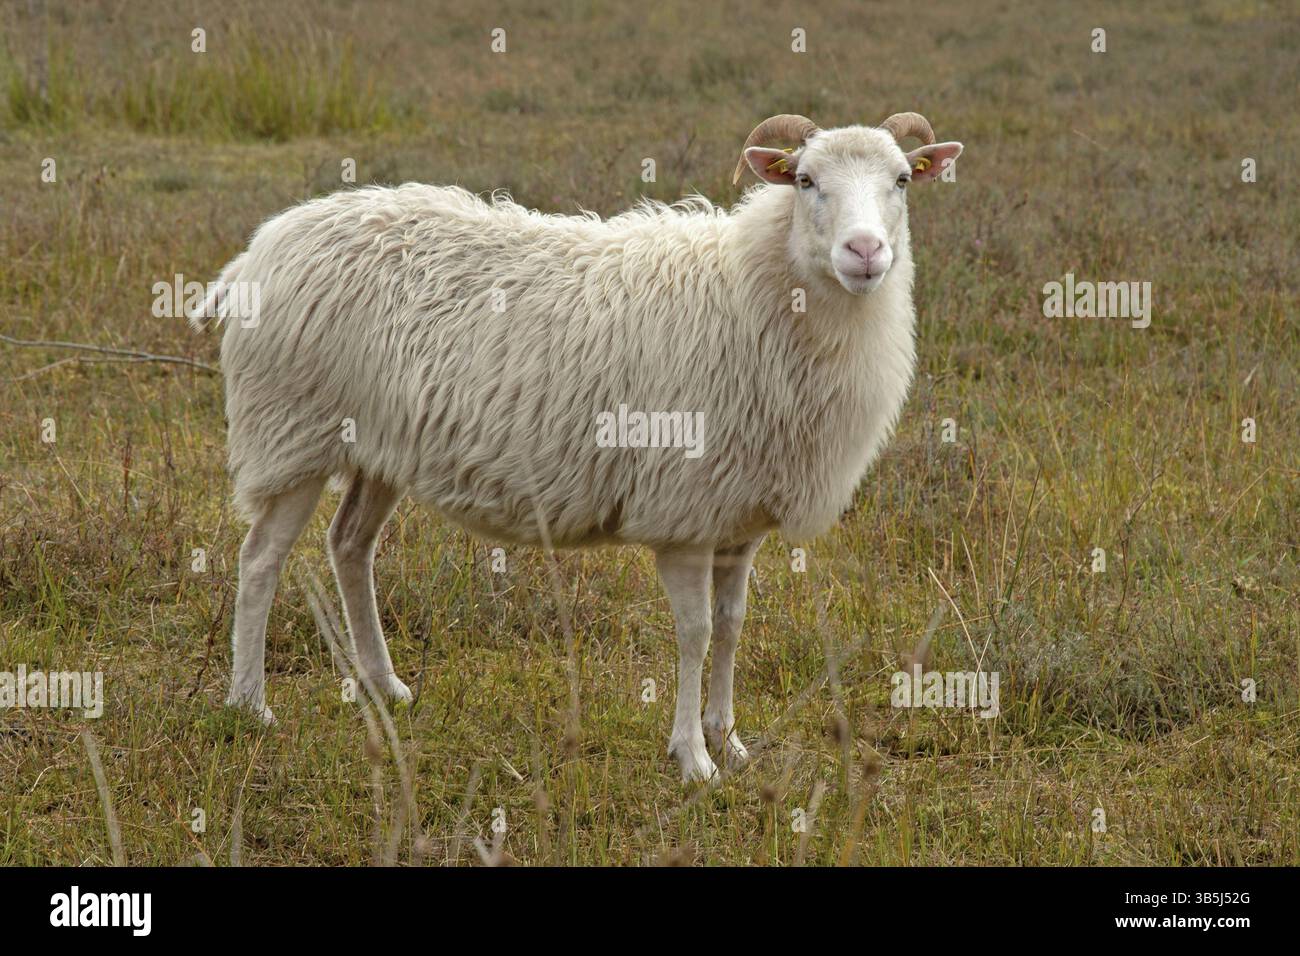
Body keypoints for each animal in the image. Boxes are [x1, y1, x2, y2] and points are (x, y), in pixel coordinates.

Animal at [194, 112, 964, 783]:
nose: (865, 253)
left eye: (902, 179)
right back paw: (249, 704)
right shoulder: (684, 514)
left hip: (379, 447)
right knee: (260, 561)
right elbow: (695, 633)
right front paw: (693, 758)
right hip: (292, 432)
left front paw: (729, 739)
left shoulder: (738, 518)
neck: (761, 292)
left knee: (350, 545)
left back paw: (386, 686)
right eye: (804, 180)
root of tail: (257, 250)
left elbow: (733, 626)